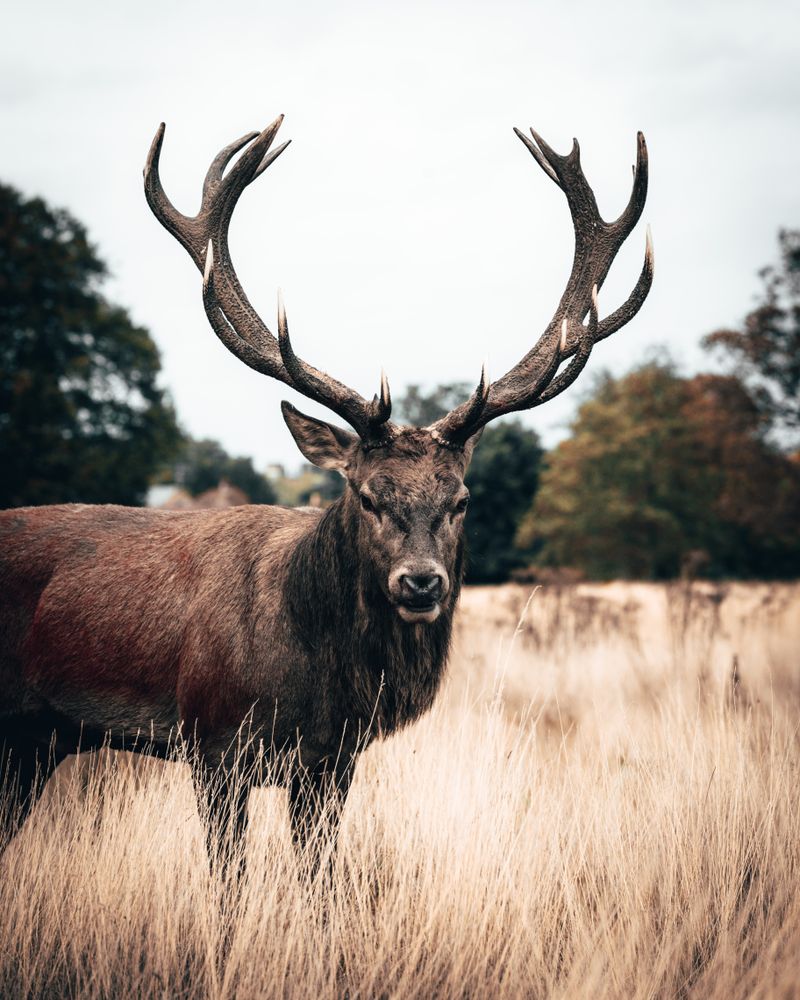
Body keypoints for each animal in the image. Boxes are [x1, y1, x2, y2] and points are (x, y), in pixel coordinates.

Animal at [0, 115, 652, 879]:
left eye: (461, 499)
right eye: (367, 496)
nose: (421, 583)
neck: (317, 680)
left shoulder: (331, 762)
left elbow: (320, 881)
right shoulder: (213, 743)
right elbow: (229, 885)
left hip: (34, 740)